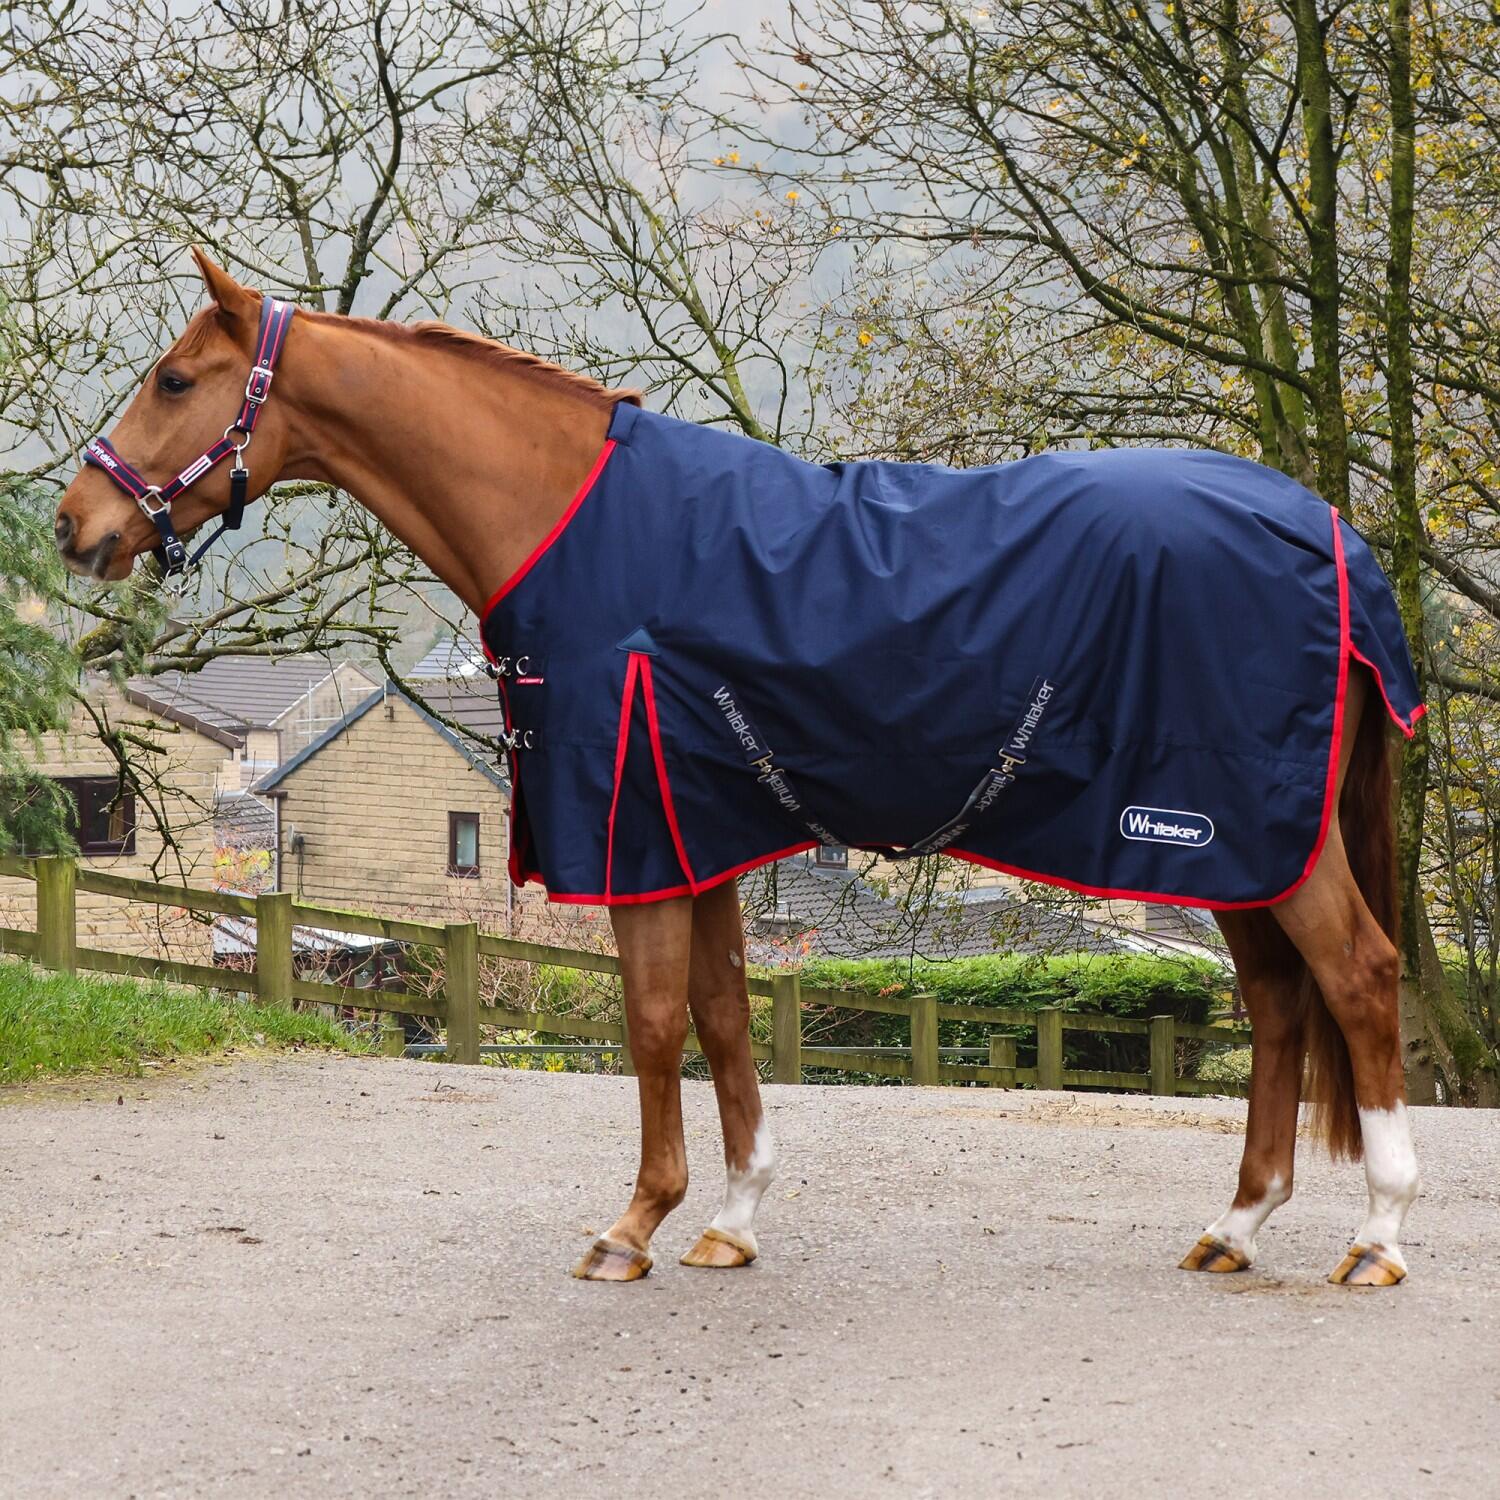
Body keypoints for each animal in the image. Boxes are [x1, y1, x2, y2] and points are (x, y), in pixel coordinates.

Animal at [55, 249, 1421, 1288]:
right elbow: (721, 1016)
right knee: (1280, 1003)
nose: (75, 525)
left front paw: (634, 1226)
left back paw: (1381, 1236)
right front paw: (732, 1216)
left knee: (1358, 979)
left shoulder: (636, 831)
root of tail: (1330, 535)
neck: (571, 519)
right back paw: (1236, 1226)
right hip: (1235, 846)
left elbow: (655, 1023)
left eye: (175, 377)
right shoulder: (697, 825)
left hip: (1240, 832)